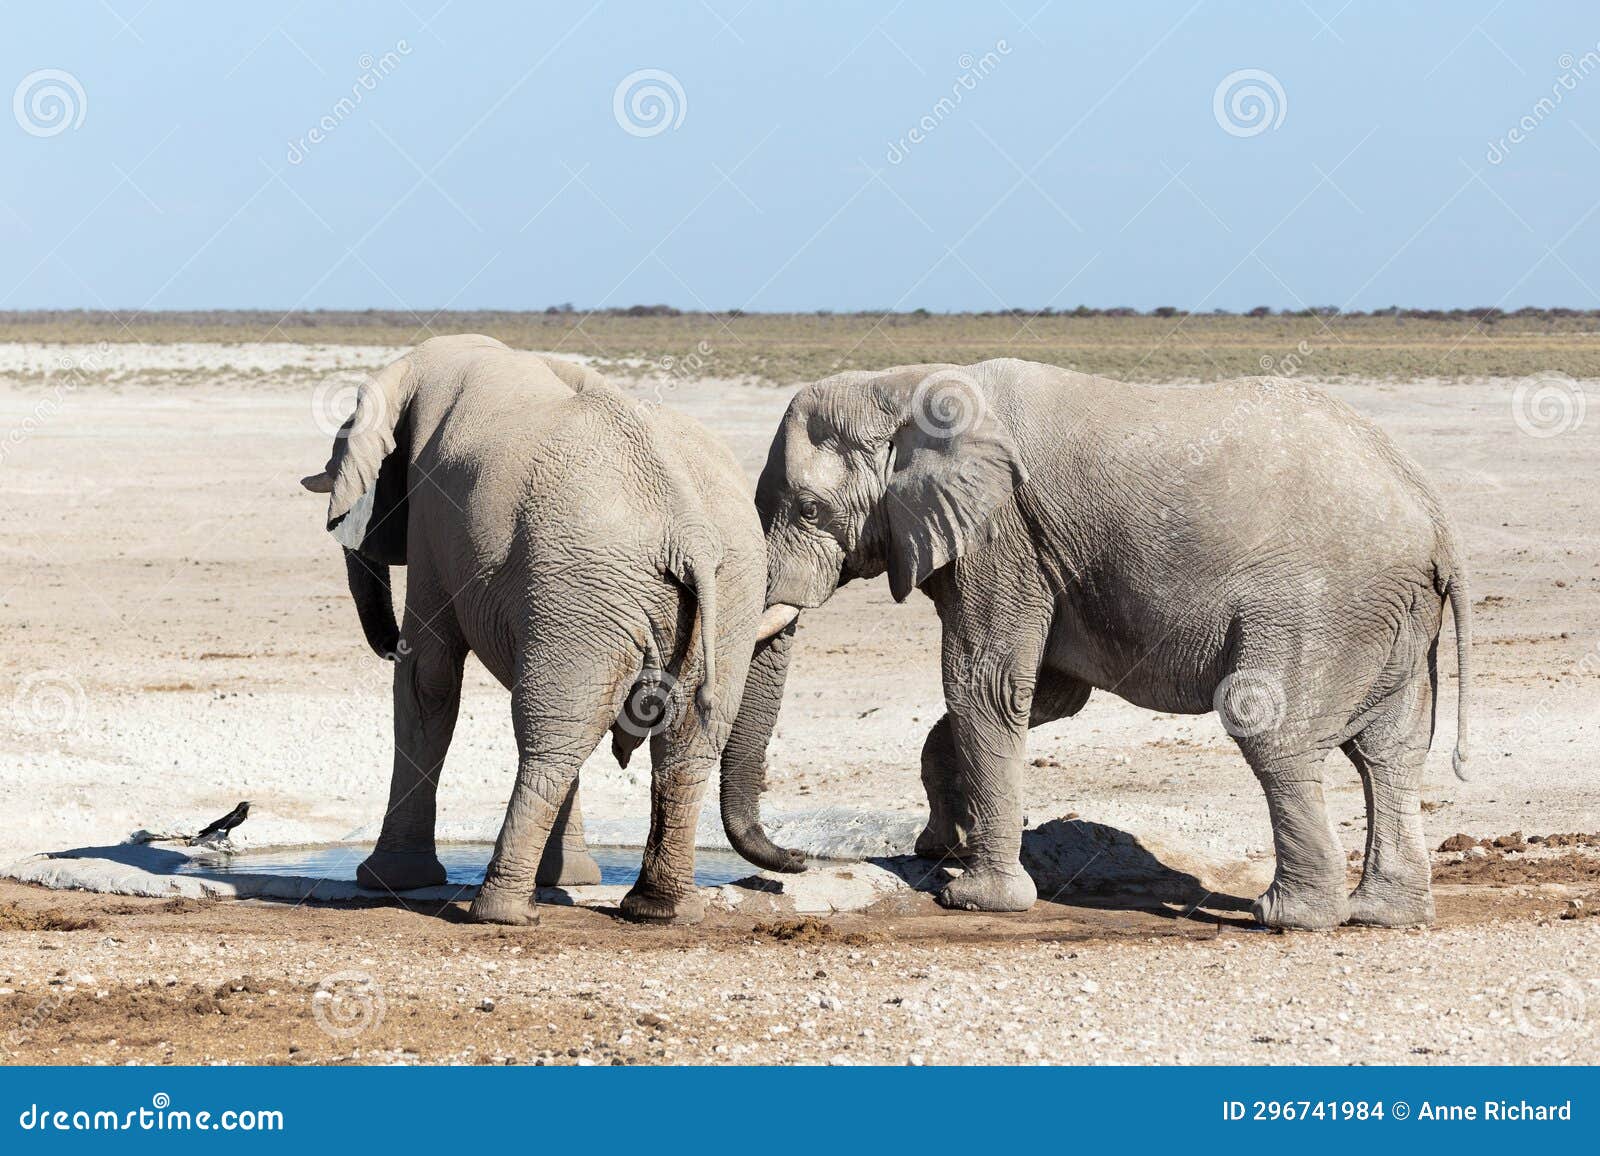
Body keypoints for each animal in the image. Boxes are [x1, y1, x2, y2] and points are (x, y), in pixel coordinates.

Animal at [300, 334, 767, 926]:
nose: (383, 642)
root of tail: (688, 531)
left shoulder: (432, 517)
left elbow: (427, 677)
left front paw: (386, 881)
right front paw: (568, 880)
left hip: (593, 583)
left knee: (552, 733)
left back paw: (499, 911)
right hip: (725, 594)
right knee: (678, 742)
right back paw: (661, 910)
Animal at [724, 359, 1472, 931]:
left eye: (810, 510)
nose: (798, 861)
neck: (902, 385)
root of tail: (1436, 520)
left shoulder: (1003, 535)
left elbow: (986, 685)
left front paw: (974, 898)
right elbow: (1045, 695)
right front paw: (940, 845)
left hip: (1320, 602)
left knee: (1269, 727)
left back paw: (1288, 916)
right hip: (1392, 617)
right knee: (1391, 749)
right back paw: (1384, 914)